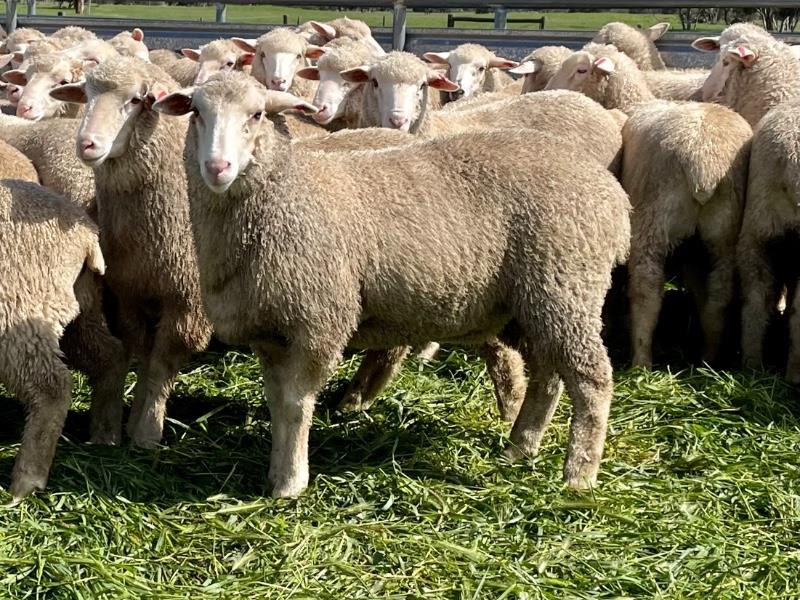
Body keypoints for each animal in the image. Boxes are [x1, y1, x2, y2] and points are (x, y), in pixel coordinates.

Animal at [0, 179, 105, 499]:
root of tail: (88, 233)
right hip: (83, 306)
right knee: (111, 356)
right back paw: (105, 429)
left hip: (20, 314)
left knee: (52, 387)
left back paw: (25, 481)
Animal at [50, 56, 212, 446]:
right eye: (86, 93)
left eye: (137, 100)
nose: (87, 143)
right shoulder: (129, 294)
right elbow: (141, 350)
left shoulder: (188, 302)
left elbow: (162, 363)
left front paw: (146, 430)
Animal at [153, 71, 630, 498]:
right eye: (196, 112)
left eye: (256, 114)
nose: (217, 167)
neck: (288, 194)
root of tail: (611, 194)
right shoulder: (269, 331)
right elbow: (277, 404)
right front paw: (276, 471)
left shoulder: (318, 321)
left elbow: (295, 405)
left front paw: (290, 484)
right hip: (534, 302)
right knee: (548, 375)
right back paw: (520, 447)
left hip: (565, 286)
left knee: (592, 379)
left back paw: (578, 474)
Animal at [622, 101, 752, 367]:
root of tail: (703, 164)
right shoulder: (693, 253)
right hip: (725, 232)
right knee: (719, 292)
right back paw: (709, 357)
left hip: (653, 221)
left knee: (646, 288)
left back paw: (641, 360)